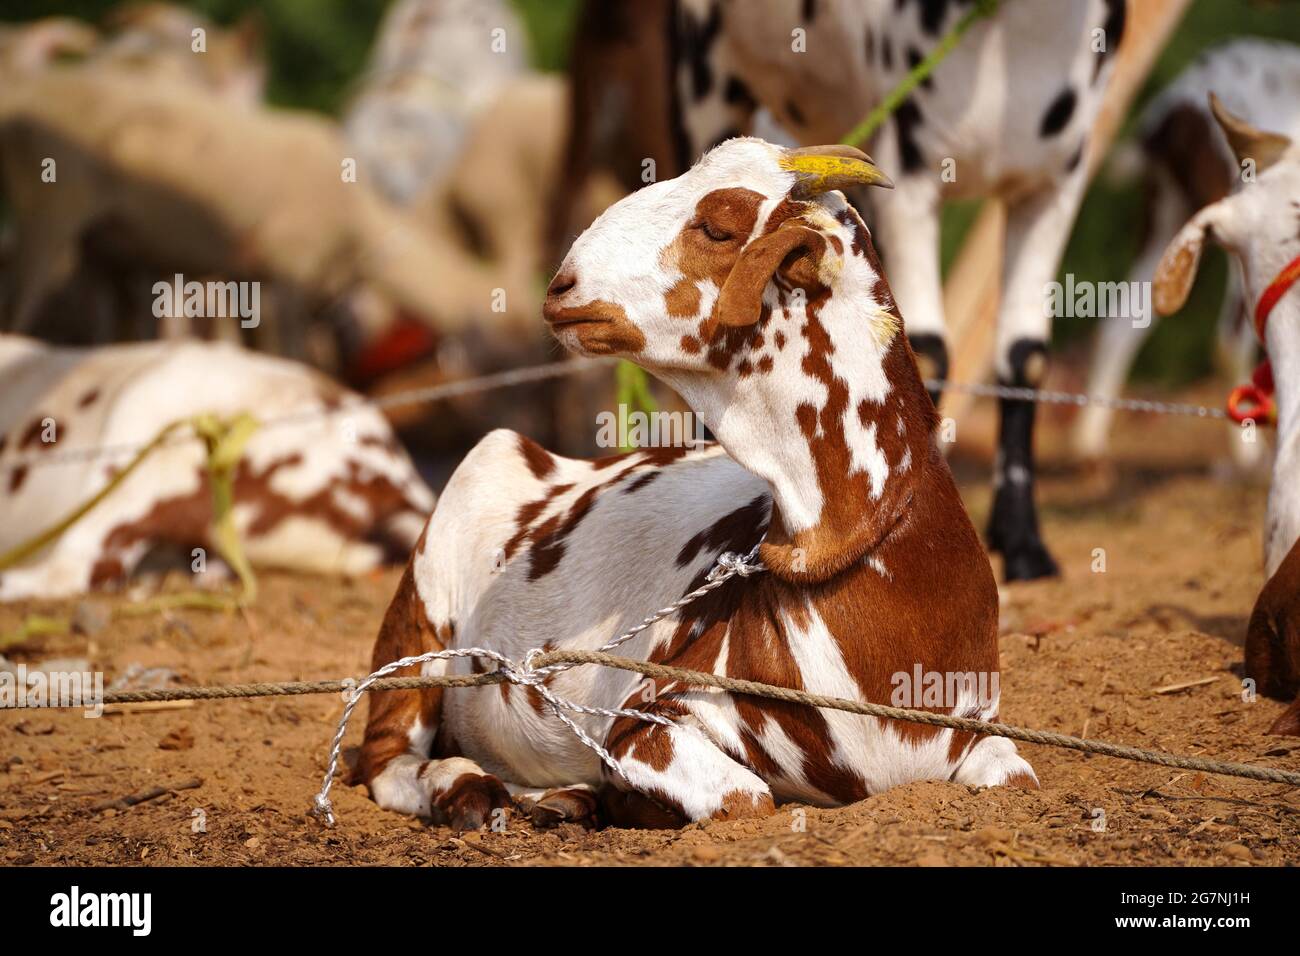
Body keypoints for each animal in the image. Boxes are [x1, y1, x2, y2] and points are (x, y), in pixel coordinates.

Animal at [356, 139, 1035, 831]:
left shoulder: (981, 736)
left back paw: (561, 798)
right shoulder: (645, 720)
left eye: (717, 227)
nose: (562, 285)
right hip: (423, 620)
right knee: (386, 759)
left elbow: (1018, 779)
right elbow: (747, 797)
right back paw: (468, 791)